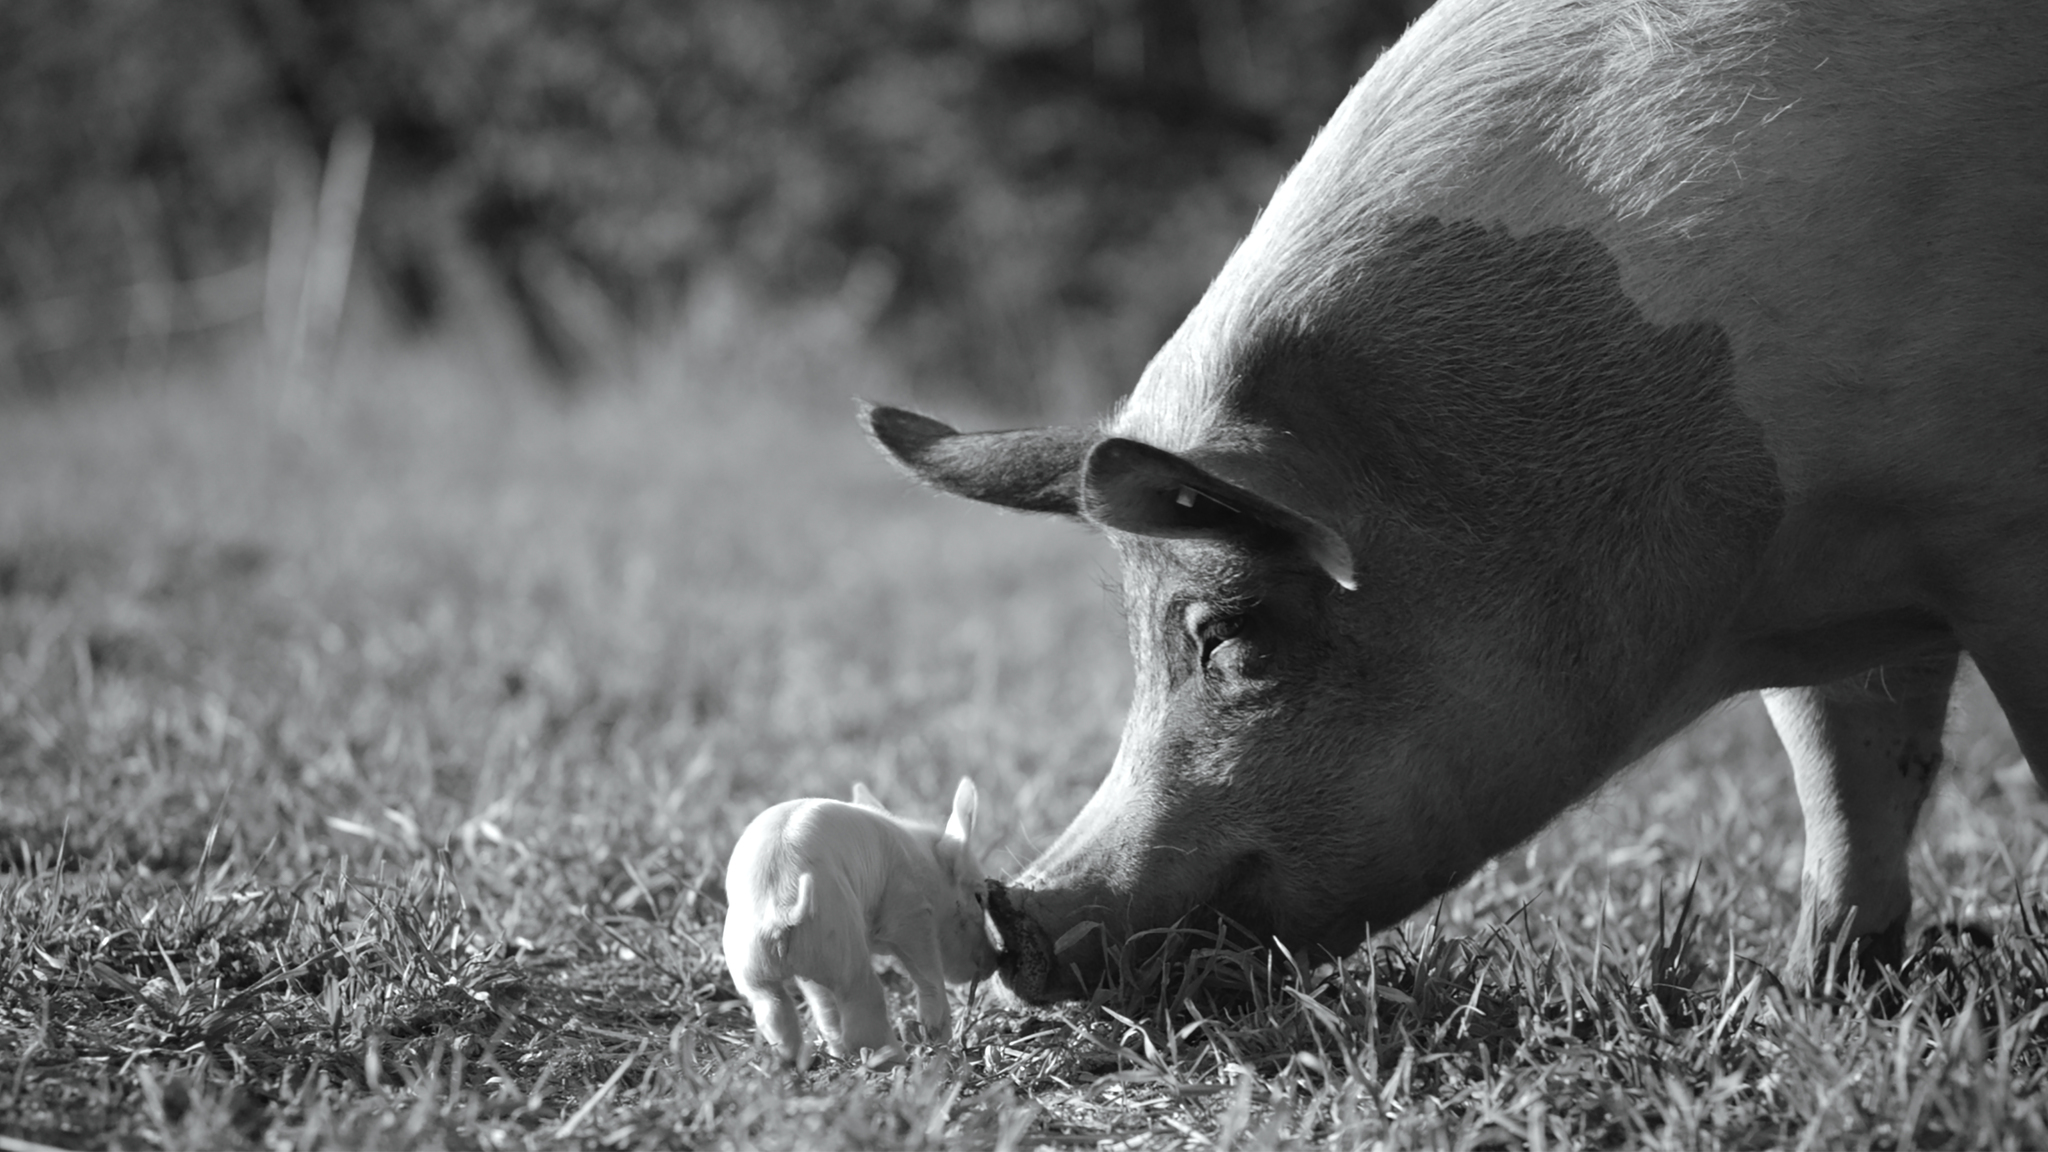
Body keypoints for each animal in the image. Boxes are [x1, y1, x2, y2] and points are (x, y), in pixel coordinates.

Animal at [722, 779, 999, 1065]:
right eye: (979, 897)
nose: (993, 961)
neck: (926, 869)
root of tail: (781, 908)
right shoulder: (912, 913)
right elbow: (929, 979)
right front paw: (941, 1046)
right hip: (842, 945)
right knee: (863, 1007)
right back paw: (901, 1059)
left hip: (756, 965)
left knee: (780, 1011)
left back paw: (806, 1061)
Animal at [862, 0, 2048, 1001]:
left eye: (1231, 637)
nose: (1013, 922)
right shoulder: (1839, 595)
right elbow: (1845, 775)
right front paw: (1815, 994)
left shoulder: (1995, 539)